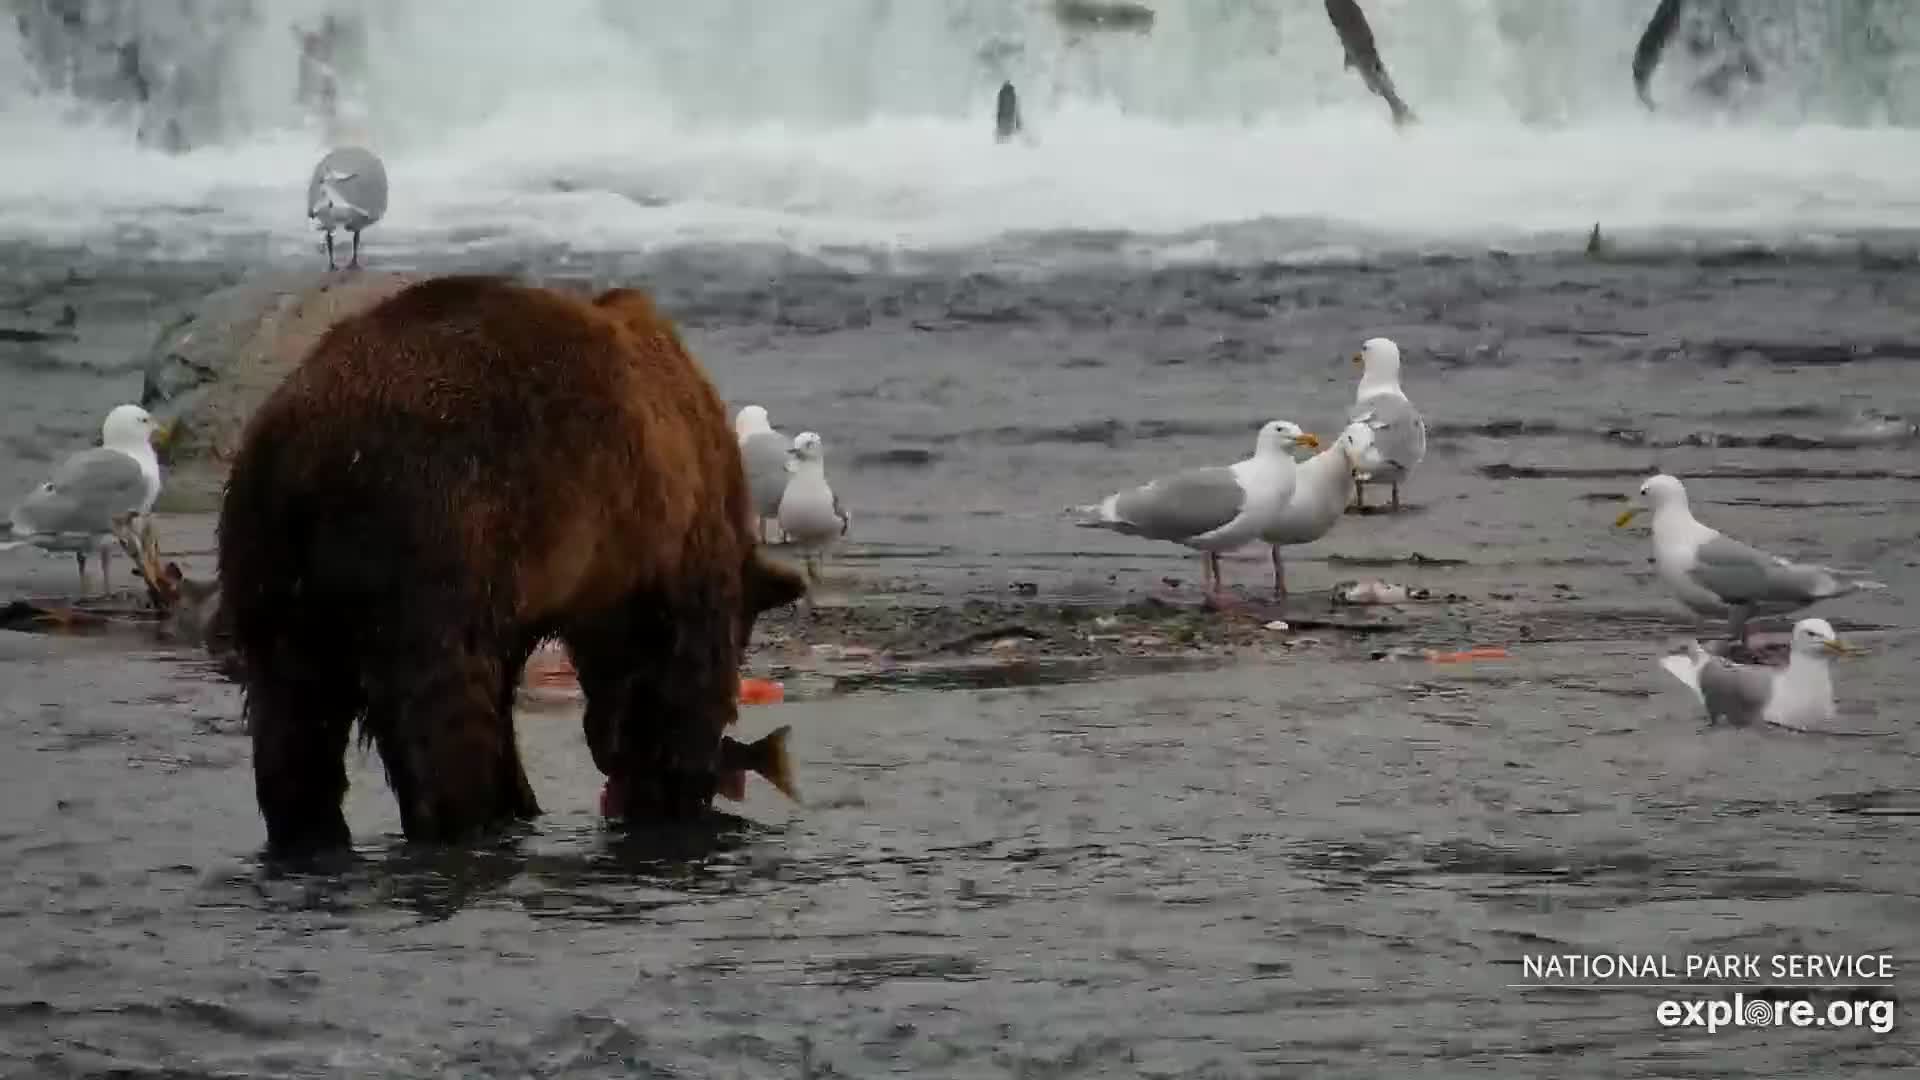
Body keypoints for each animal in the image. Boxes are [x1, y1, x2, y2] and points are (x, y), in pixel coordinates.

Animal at [216, 274, 806, 857]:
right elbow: (680, 666)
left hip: (271, 566)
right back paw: (463, 822)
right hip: (433, 531)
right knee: (441, 708)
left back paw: (312, 832)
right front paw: (672, 781)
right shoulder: (661, 538)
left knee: (292, 713)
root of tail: (299, 452)